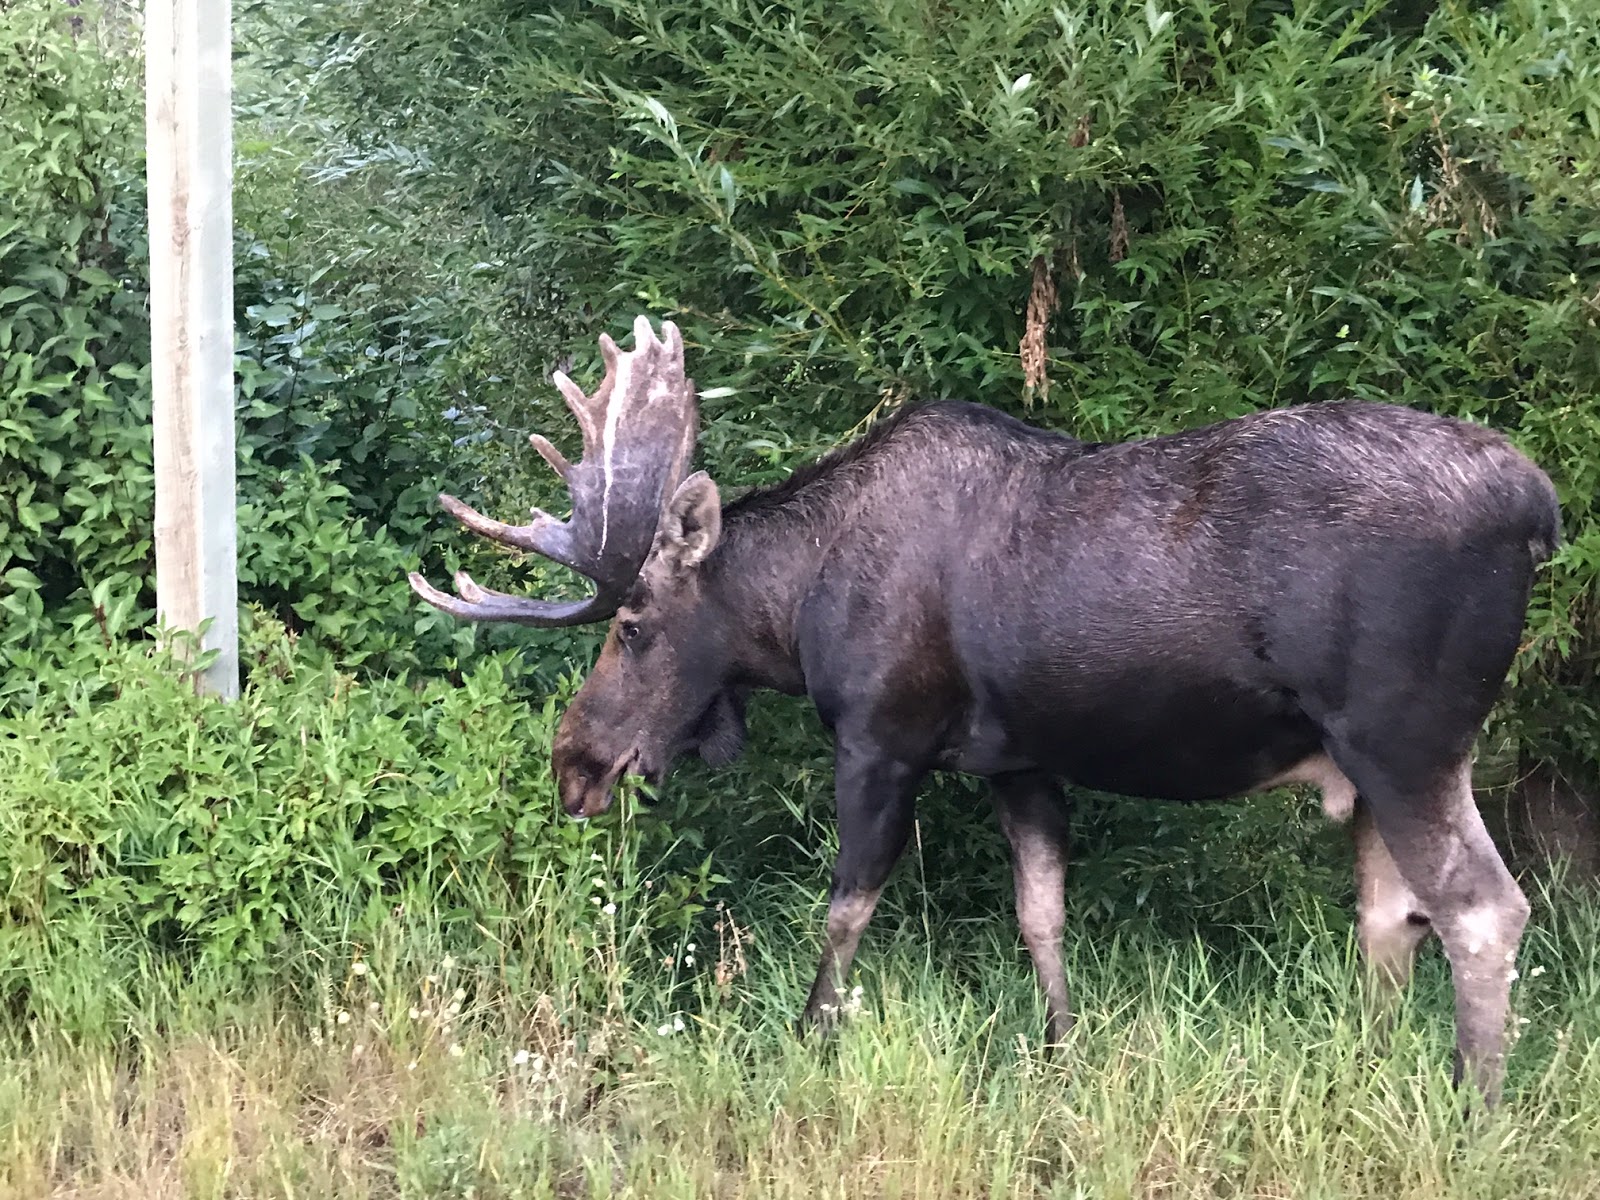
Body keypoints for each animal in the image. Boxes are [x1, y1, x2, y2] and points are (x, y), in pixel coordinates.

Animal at [410, 316, 1561, 1106]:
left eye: (635, 623)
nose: (574, 762)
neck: (799, 608)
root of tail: (1539, 511)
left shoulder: (881, 740)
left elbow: (845, 910)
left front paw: (809, 1040)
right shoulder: (1020, 761)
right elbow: (1040, 914)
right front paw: (1061, 1055)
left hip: (1405, 739)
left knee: (1482, 908)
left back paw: (1477, 1110)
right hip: (1372, 765)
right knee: (1390, 915)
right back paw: (1378, 1066)